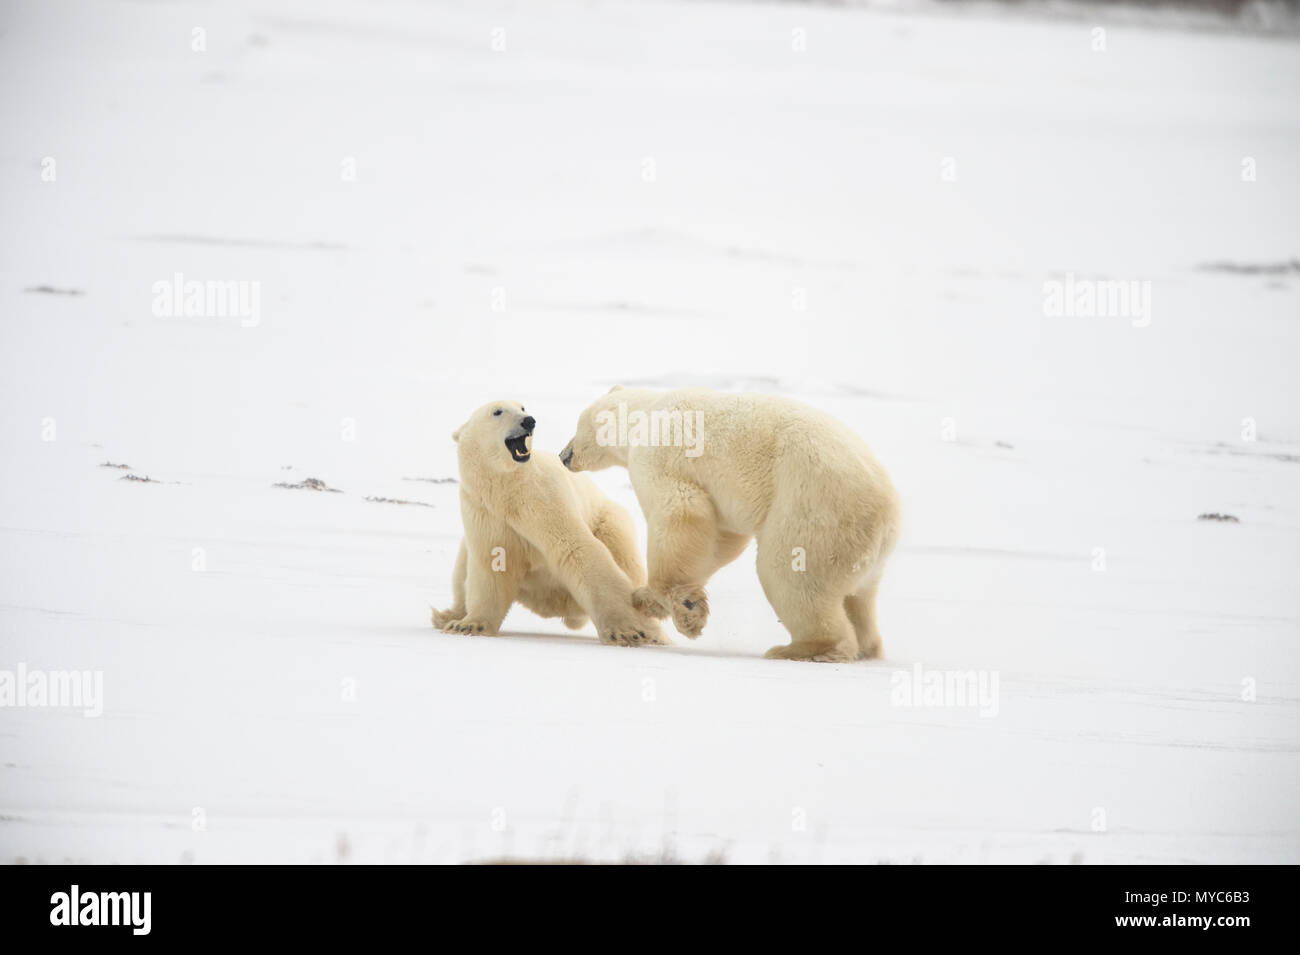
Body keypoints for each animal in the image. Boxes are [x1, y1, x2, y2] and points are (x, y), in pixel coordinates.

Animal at [432, 399, 668, 647]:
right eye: (497, 411)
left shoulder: (543, 496)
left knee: (626, 564)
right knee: (461, 570)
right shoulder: (484, 511)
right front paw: (468, 625)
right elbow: (493, 562)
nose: (529, 421)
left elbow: (576, 549)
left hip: (610, 523)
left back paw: (653, 632)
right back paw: (447, 615)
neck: (508, 489)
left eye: (522, 407)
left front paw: (625, 631)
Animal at [558, 387, 900, 663]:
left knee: (789, 574)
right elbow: (720, 538)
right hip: (861, 548)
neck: (646, 413)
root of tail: (887, 513)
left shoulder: (660, 457)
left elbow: (681, 512)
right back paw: (867, 646)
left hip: (813, 507)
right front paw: (648, 599)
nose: (564, 455)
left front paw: (686, 611)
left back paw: (802, 648)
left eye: (577, 428)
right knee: (860, 596)